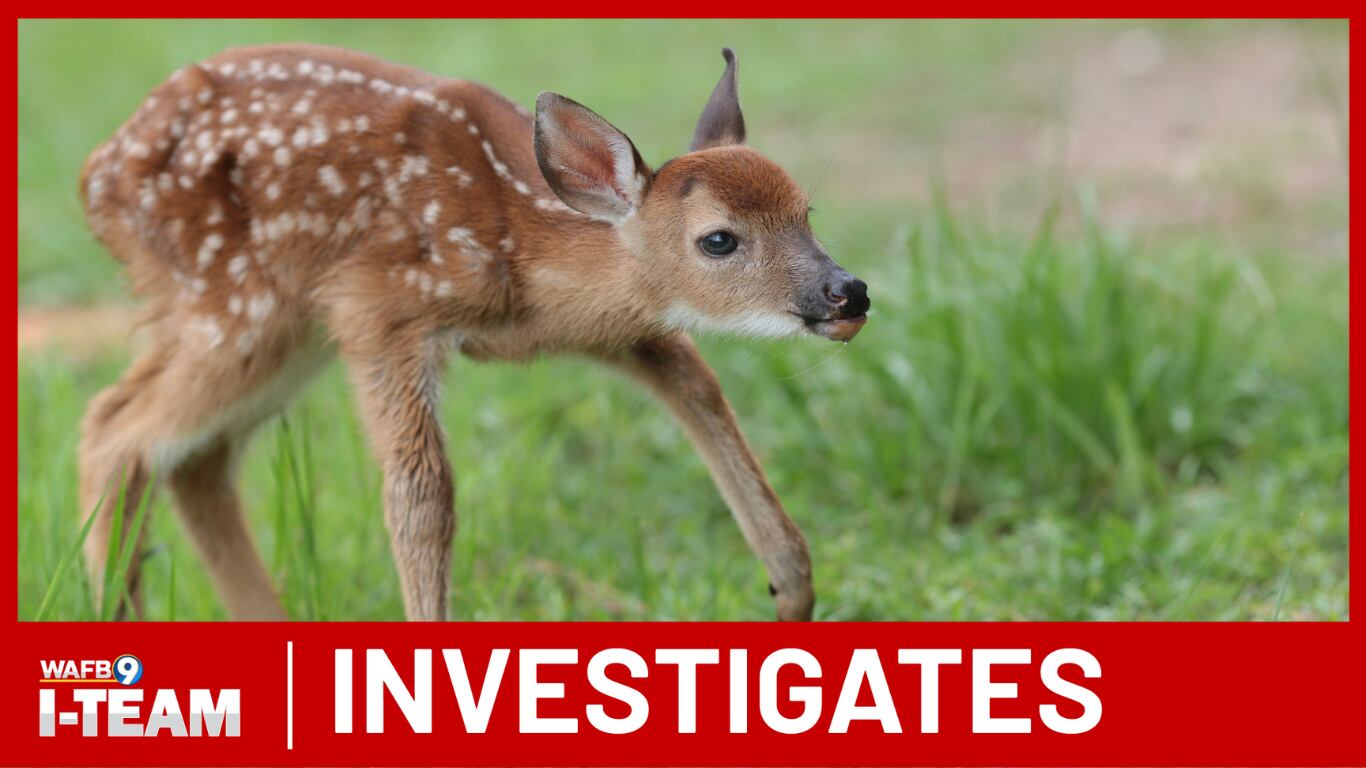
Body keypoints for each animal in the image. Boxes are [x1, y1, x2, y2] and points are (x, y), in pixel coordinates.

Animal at [76, 43, 870, 622]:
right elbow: (424, 496)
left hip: (285, 333)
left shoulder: (624, 328)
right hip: (237, 304)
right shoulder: (382, 307)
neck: (520, 246)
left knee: (192, 458)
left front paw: (792, 586)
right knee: (115, 427)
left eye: (806, 210)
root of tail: (94, 178)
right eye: (719, 240)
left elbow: (704, 392)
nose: (849, 292)